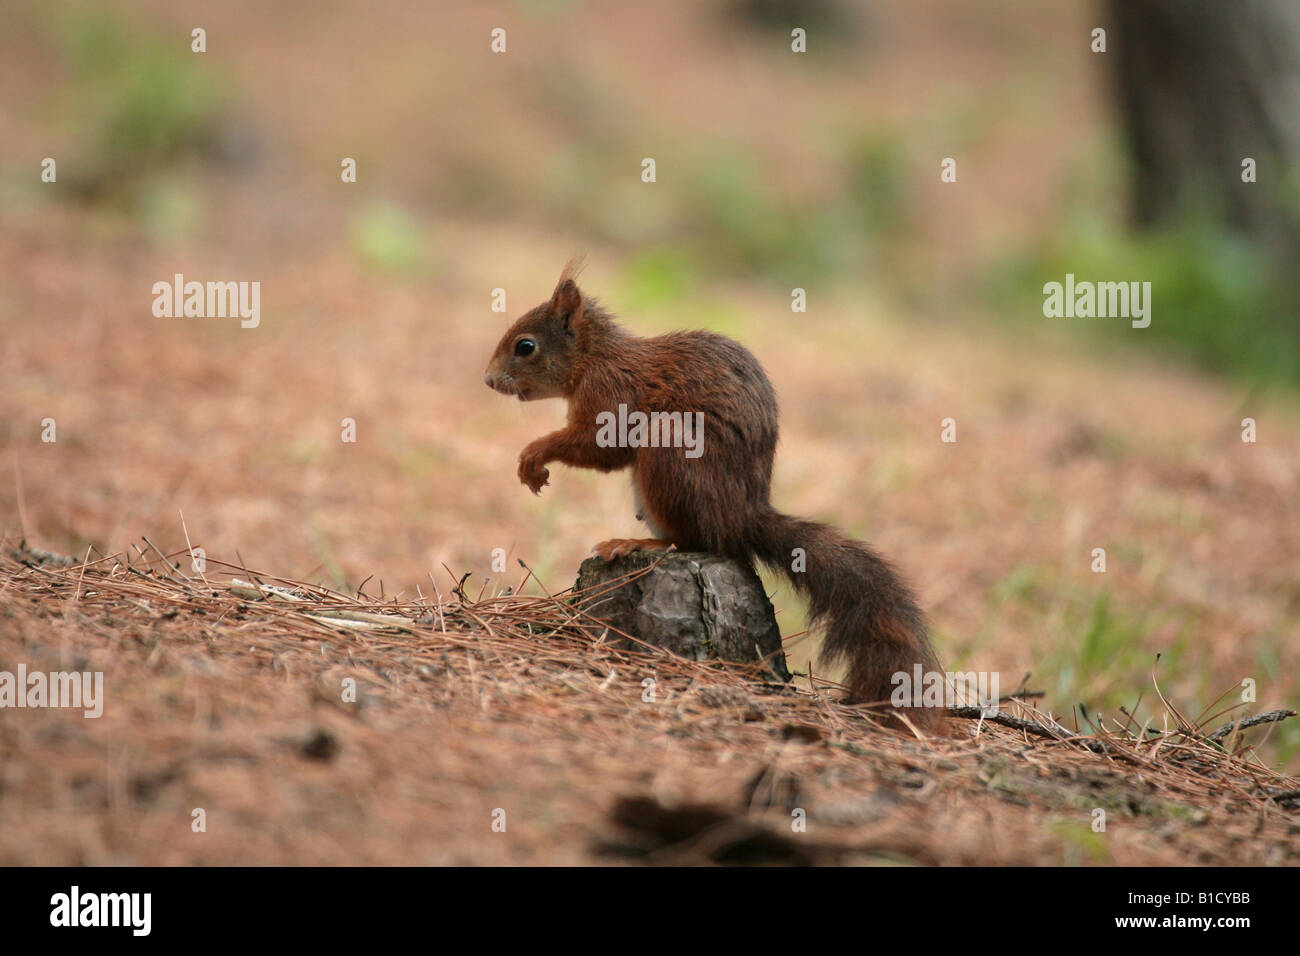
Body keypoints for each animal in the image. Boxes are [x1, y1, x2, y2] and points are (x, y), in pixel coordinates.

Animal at [484, 261, 943, 730]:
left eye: (525, 346)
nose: (489, 380)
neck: (595, 358)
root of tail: (743, 516)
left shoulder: (611, 396)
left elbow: (600, 446)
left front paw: (534, 454)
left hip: (671, 449)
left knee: (693, 539)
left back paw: (638, 542)